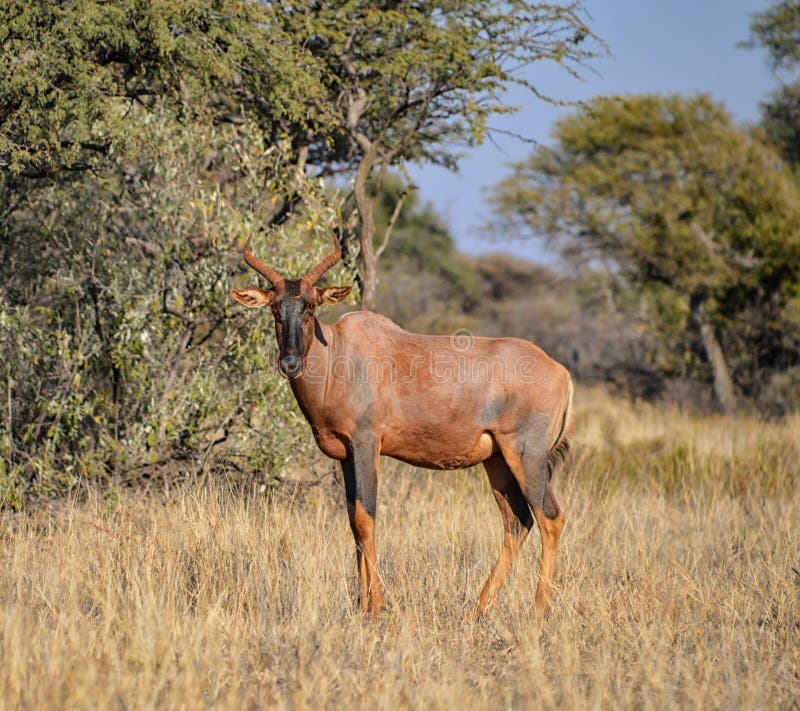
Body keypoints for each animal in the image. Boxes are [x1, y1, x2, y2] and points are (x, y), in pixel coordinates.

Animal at [230, 236, 574, 618]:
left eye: (310, 306)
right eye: (275, 308)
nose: (290, 363)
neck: (339, 353)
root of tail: (561, 372)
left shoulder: (367, 444)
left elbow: (366, 516)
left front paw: (376, 606)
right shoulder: (346, 455)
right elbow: (352, 520)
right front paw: (362, 603)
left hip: (527, 457)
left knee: (550, 518)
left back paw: (538, 612)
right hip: (497, 460)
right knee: (518, 522)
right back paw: (477, 610)